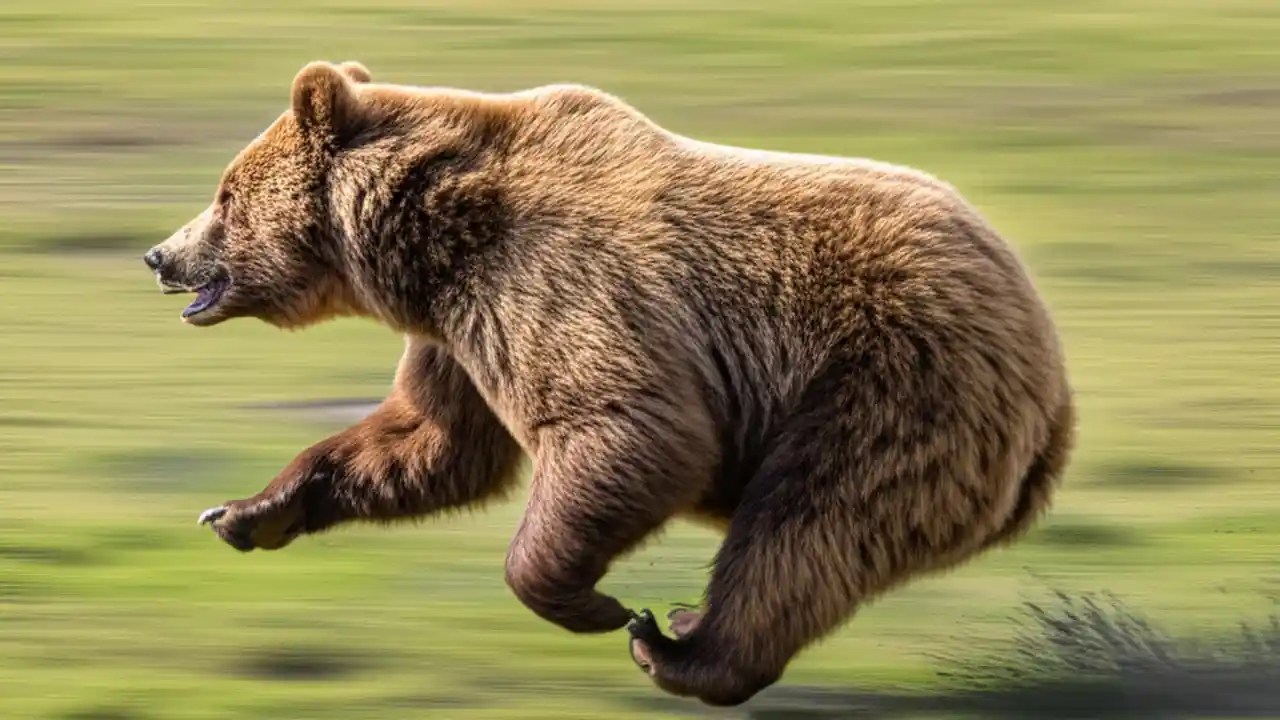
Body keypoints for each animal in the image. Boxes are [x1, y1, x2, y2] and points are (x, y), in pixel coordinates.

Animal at [143, 60, 1075, 707]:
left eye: (224, 194)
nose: (159, 254)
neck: (432, 239)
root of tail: (1054, 381)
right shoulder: (460, 332)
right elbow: (434, 441)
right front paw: (246, 512)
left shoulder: (555, 278)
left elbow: (626, 425)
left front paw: (591, 601)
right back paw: (691, 632)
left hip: (893, 380)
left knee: (809, 520)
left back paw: (682, 647)